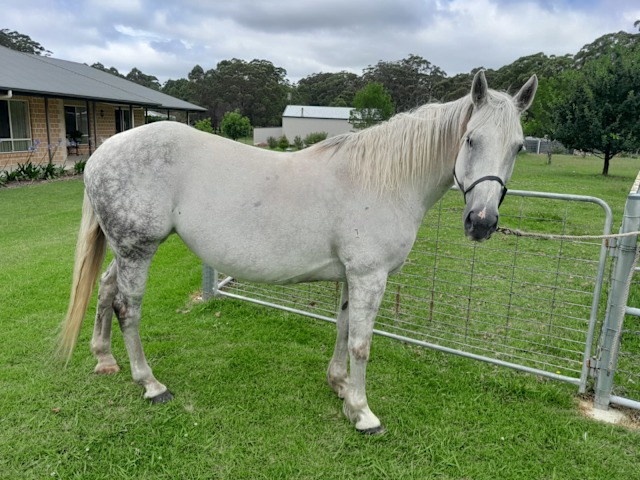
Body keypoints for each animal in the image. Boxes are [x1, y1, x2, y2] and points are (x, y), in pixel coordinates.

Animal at [59, 71, 537, 434]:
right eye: (471, 140)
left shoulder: (351, 276)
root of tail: (101, 154)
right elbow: (362, 343)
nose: (482, 222)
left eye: (517, 146)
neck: (384, 179)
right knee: (127, 307)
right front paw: (363, 413)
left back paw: (104, 359)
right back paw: (151, 384)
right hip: (137, 249)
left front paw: (340, 387)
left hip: (124, 249)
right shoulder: (370, 276)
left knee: (105, 289)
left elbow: (343, 329)